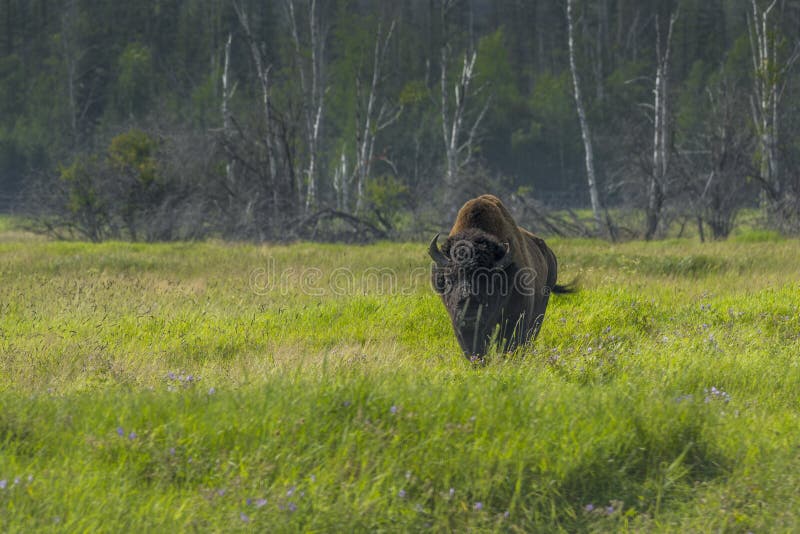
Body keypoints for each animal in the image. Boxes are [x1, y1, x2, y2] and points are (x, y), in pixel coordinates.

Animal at [429, 194, 570, 357]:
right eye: (448, 279)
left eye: (489, 281)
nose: (470, 314)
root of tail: (549, 254)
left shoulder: (515, 319)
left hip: (539, 312)